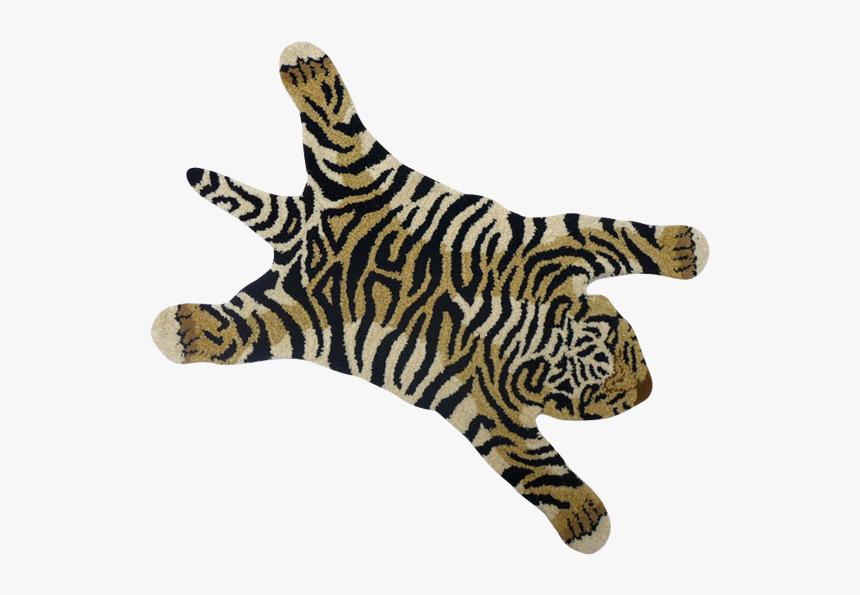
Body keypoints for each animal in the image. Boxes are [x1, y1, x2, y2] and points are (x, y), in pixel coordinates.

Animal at [151, 42, 708, 554]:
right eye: (607, 405)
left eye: (633, 350)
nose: (649, 389)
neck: (531, 334)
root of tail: (303, 229)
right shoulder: (493, 411)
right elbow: (540, 469)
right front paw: (586, 518)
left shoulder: (553, 251)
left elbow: (623, 236)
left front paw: (682, 249)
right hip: (300, 295)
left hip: (330, 234)